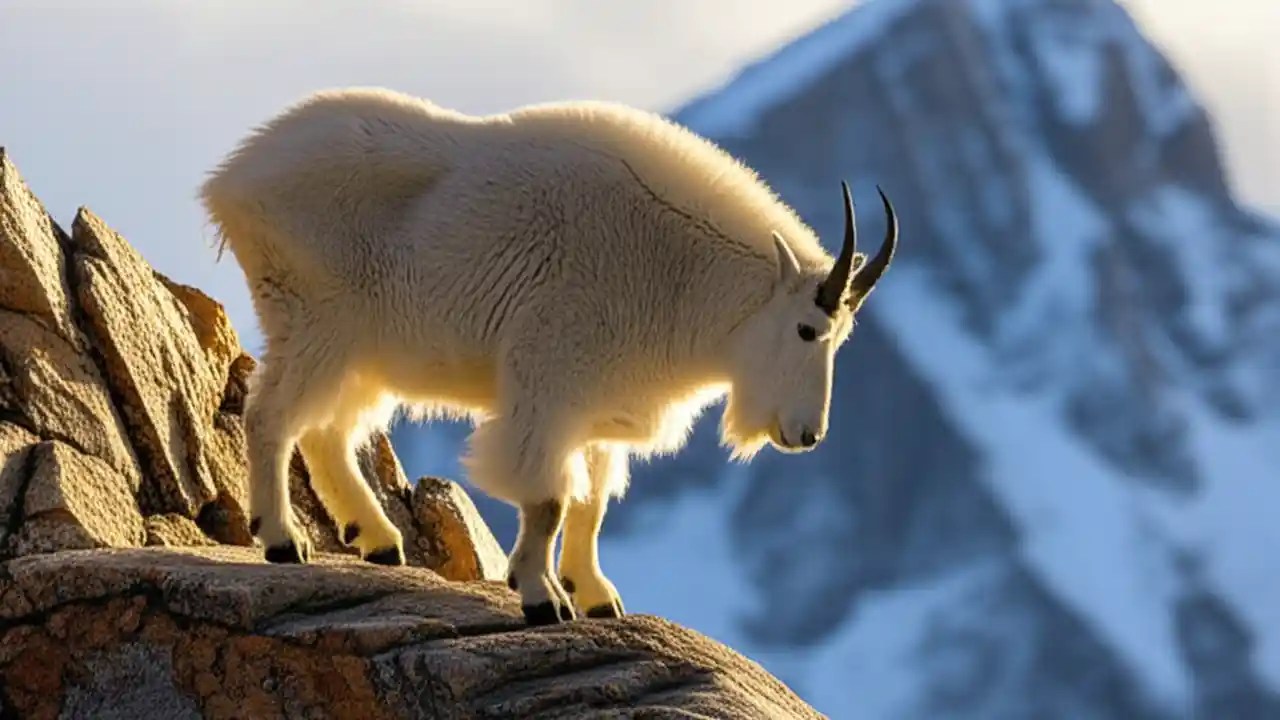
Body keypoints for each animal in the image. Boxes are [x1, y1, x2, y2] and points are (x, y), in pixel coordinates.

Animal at [201, 87, 897, 625]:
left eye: (842, 337)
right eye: (807, 329)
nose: (807, 436)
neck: (677, 267)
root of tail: (232, 177)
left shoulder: (600, 405)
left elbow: (591, 507)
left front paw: (596, 598)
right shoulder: (549, 382)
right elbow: (549, 500)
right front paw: (541, 598)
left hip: (364, 353)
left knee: (328, 433)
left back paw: (378, 541)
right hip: (315, 323)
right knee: (273, 416)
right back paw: (284, 540)